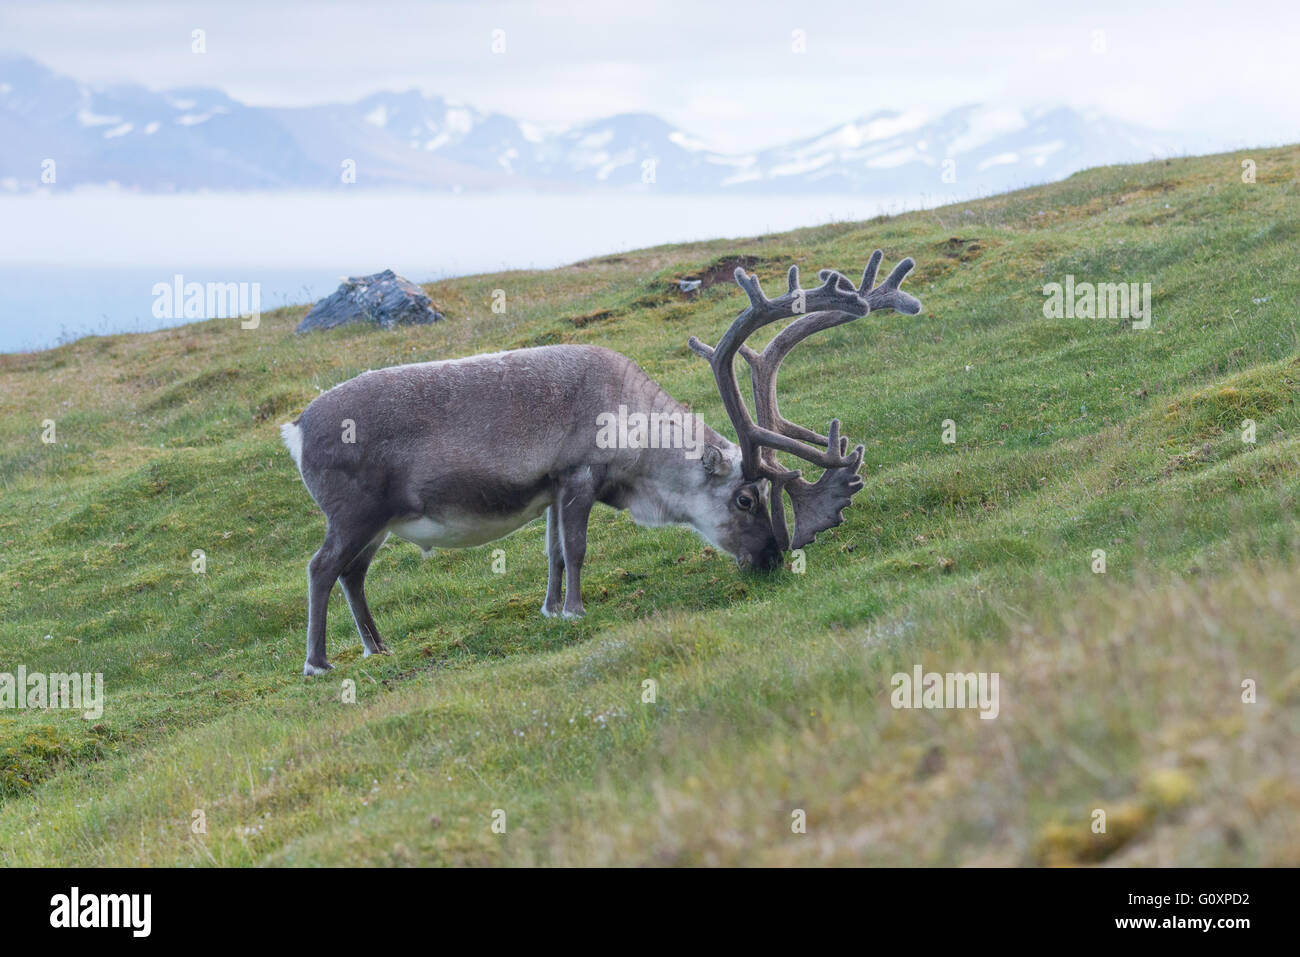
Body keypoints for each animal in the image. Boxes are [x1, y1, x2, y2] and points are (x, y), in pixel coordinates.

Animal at [281, 250, 920, 675]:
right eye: (745, 498)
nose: (768, 559)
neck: (633, 429)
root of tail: (295, 429)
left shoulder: (550, 489)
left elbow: (553, 553)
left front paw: (548, 609)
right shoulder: (579, 474)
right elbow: (577, 549)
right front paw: (574, 612)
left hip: (379, 523)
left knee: (352, 574)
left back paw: (377, 646)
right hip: (354, 513)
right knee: (321, 567)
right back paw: (319, 664)